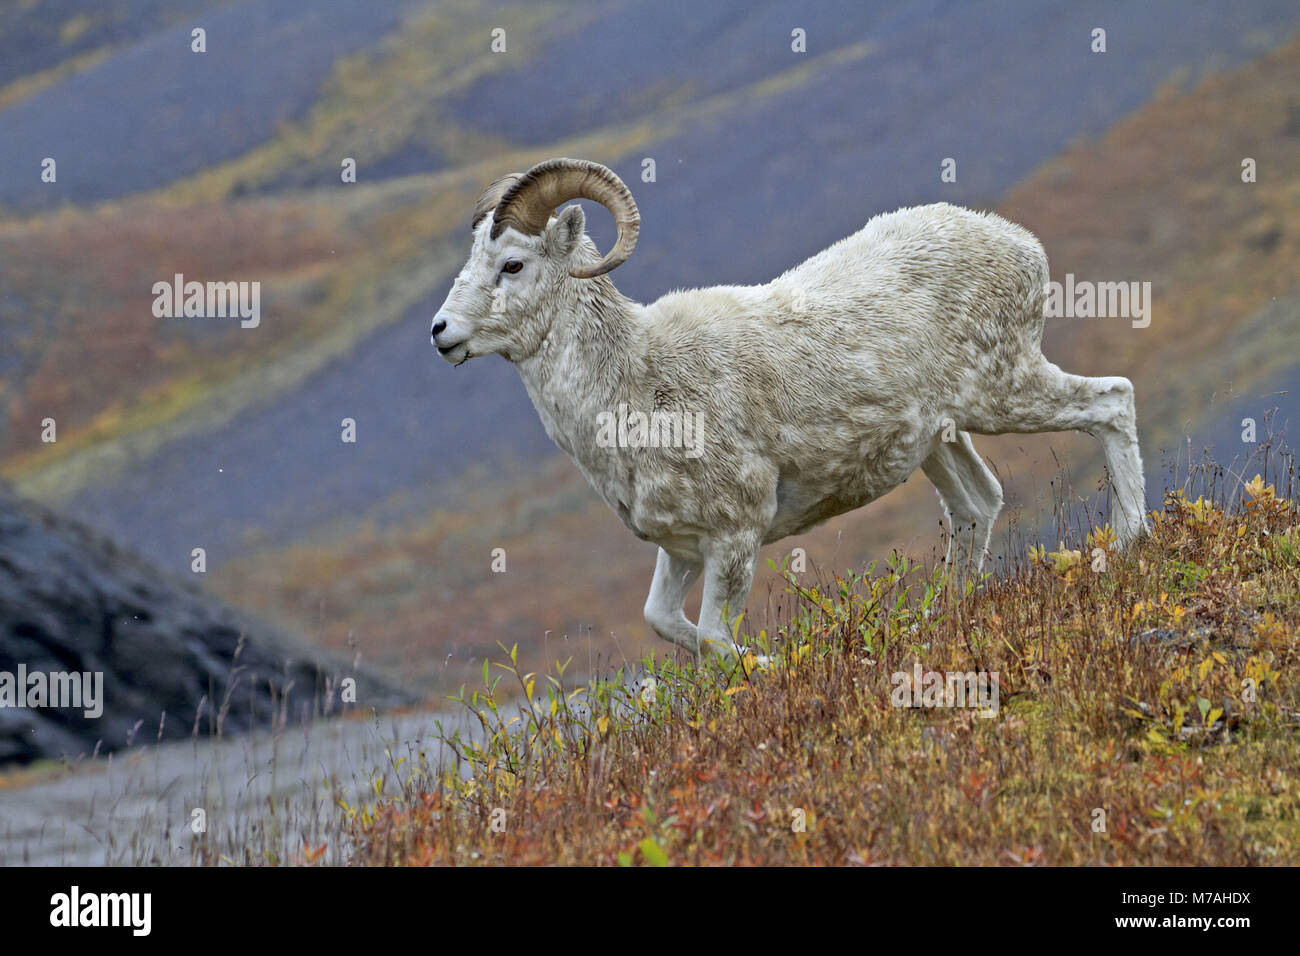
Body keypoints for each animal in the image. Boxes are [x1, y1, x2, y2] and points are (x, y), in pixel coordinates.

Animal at [431, 158, 1150, 657]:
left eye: (513, 264)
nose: (441, 333)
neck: (637, 383)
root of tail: (1020, 246)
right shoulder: (682, 548)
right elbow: (665, 623)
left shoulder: (735, 536)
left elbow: (716, 638)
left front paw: (769, 668)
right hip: (940, 441)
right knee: (978, 502)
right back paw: (944, 614)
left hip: (1005, 392)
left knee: (1112, 401)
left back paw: (1126, 543)